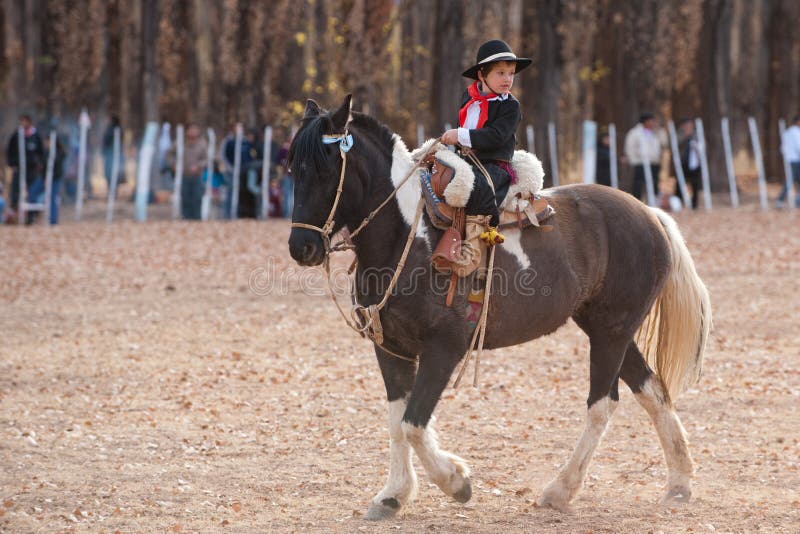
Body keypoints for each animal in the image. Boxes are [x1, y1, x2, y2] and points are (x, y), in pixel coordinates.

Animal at [287, 95, 711, 520]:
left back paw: (560, 489)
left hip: (612, 332)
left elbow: (413, 424)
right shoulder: (390, 348)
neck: (407, 236)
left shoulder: (444, 349)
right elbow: (397, 421)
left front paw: (456, 482)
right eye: (292, 168)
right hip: (607, 329)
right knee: (652, 391)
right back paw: (679, 483)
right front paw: (393, 494)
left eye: (326, 169)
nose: (301, 248)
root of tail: (649, 213)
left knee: (601, 404)